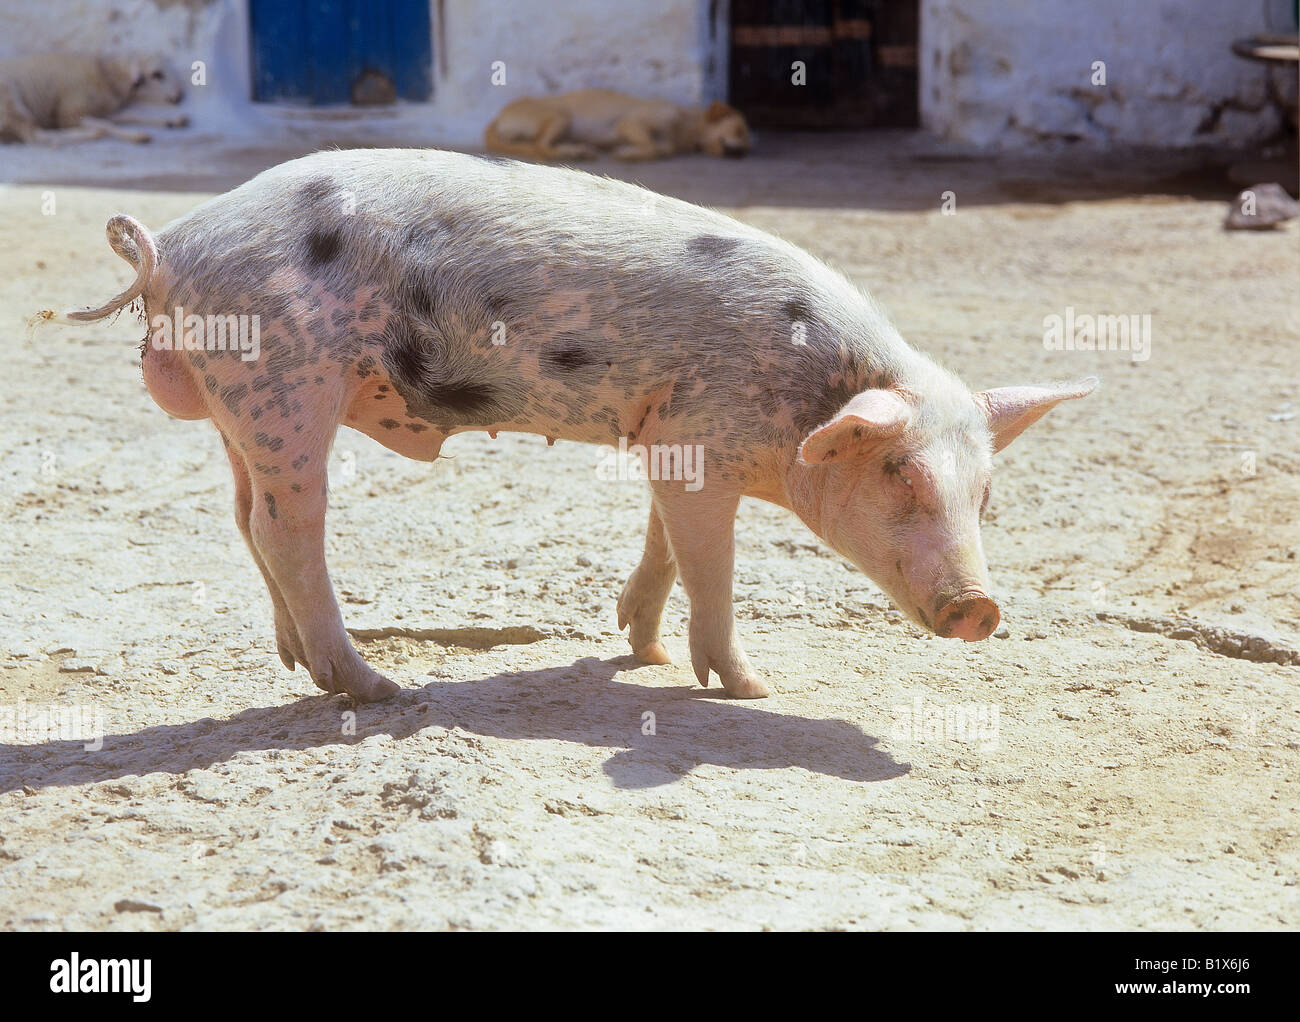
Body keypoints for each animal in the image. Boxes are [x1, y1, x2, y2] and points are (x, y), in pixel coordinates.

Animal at [45, 149, 1096, 703]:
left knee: (243, 519)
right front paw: (753, 688)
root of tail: (173, 248)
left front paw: (647, 653)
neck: (807, 398)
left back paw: (302, 663)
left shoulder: (669, 435)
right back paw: (374, 688)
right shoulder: (705, 443)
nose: (981, 609)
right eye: (898, 476)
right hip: (286, 385)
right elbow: (711, 565)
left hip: (241, 405)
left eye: (987, 496)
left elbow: (664, 541)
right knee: (286, 526)